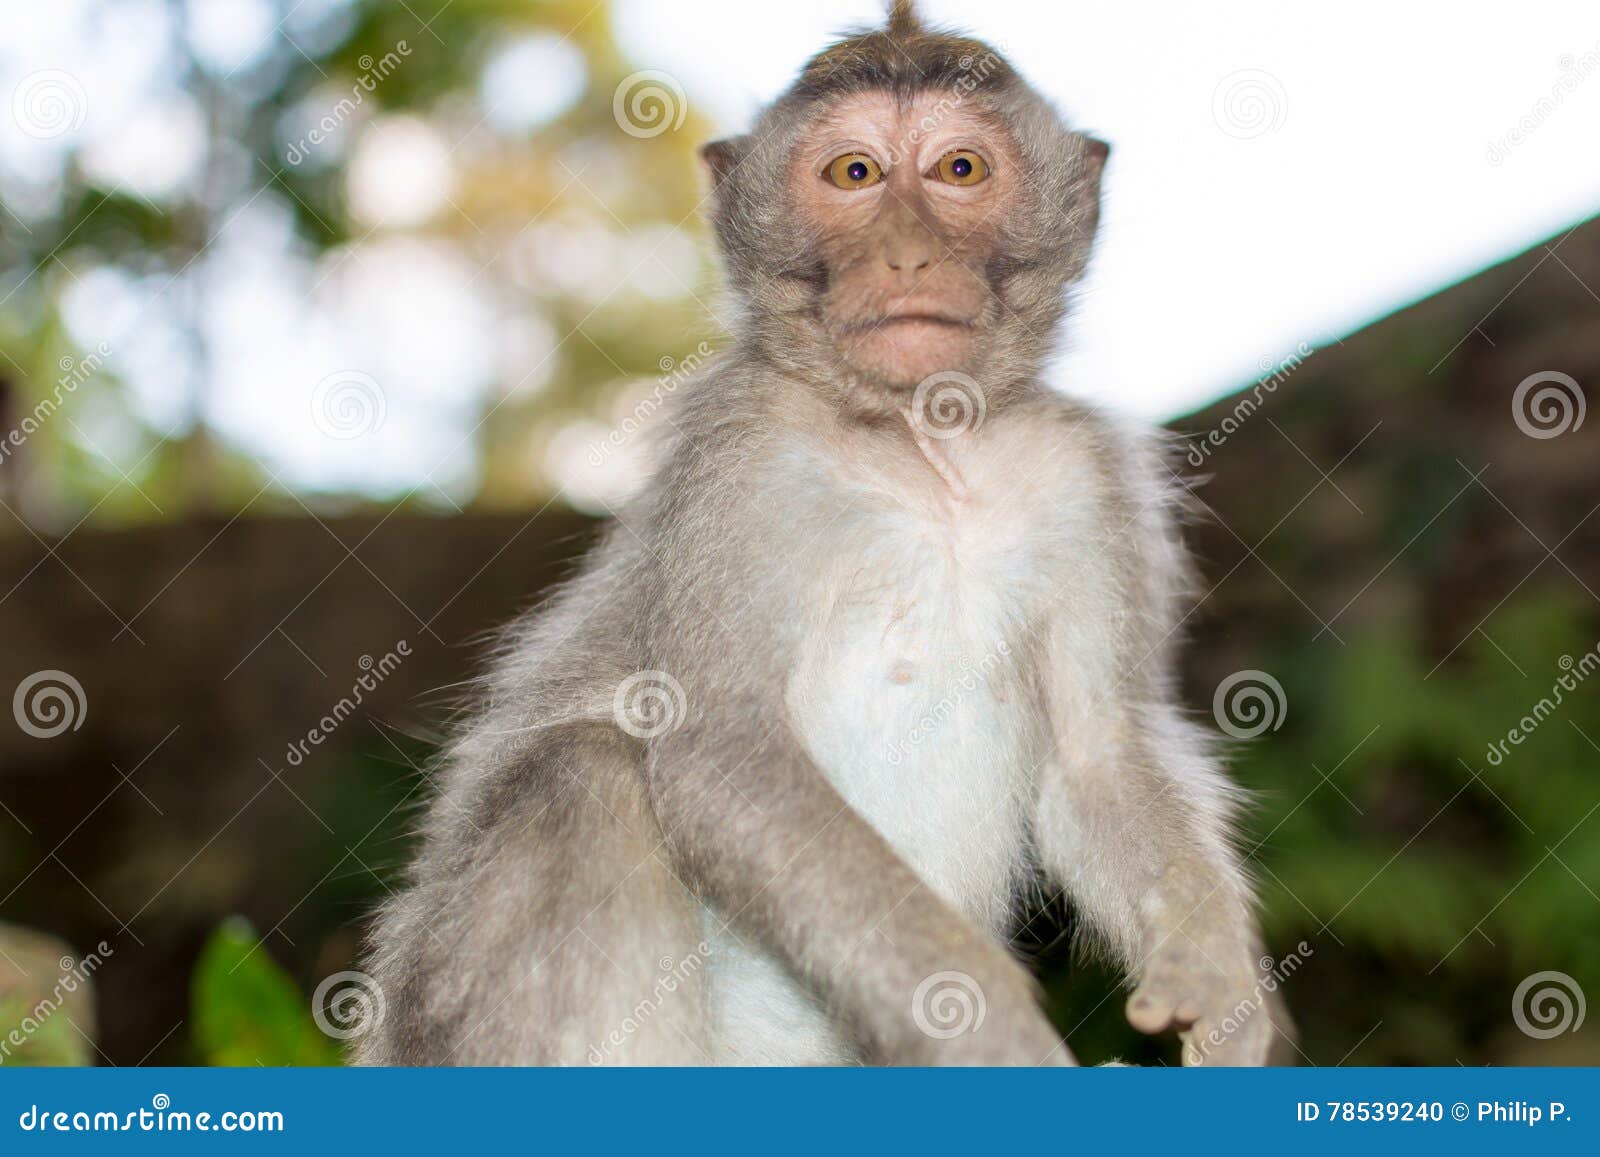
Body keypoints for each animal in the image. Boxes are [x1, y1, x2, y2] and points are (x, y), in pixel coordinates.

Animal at [357, 0, 1288, 1067]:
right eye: (854, 174)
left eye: (959, 169)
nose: (908, 253)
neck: (927, 446)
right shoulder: (743, 459)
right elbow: (723, 753)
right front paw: (995, 1032)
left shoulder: (1086, 480)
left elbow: (1098, 760)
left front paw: (1220, 993)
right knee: (583, 781)